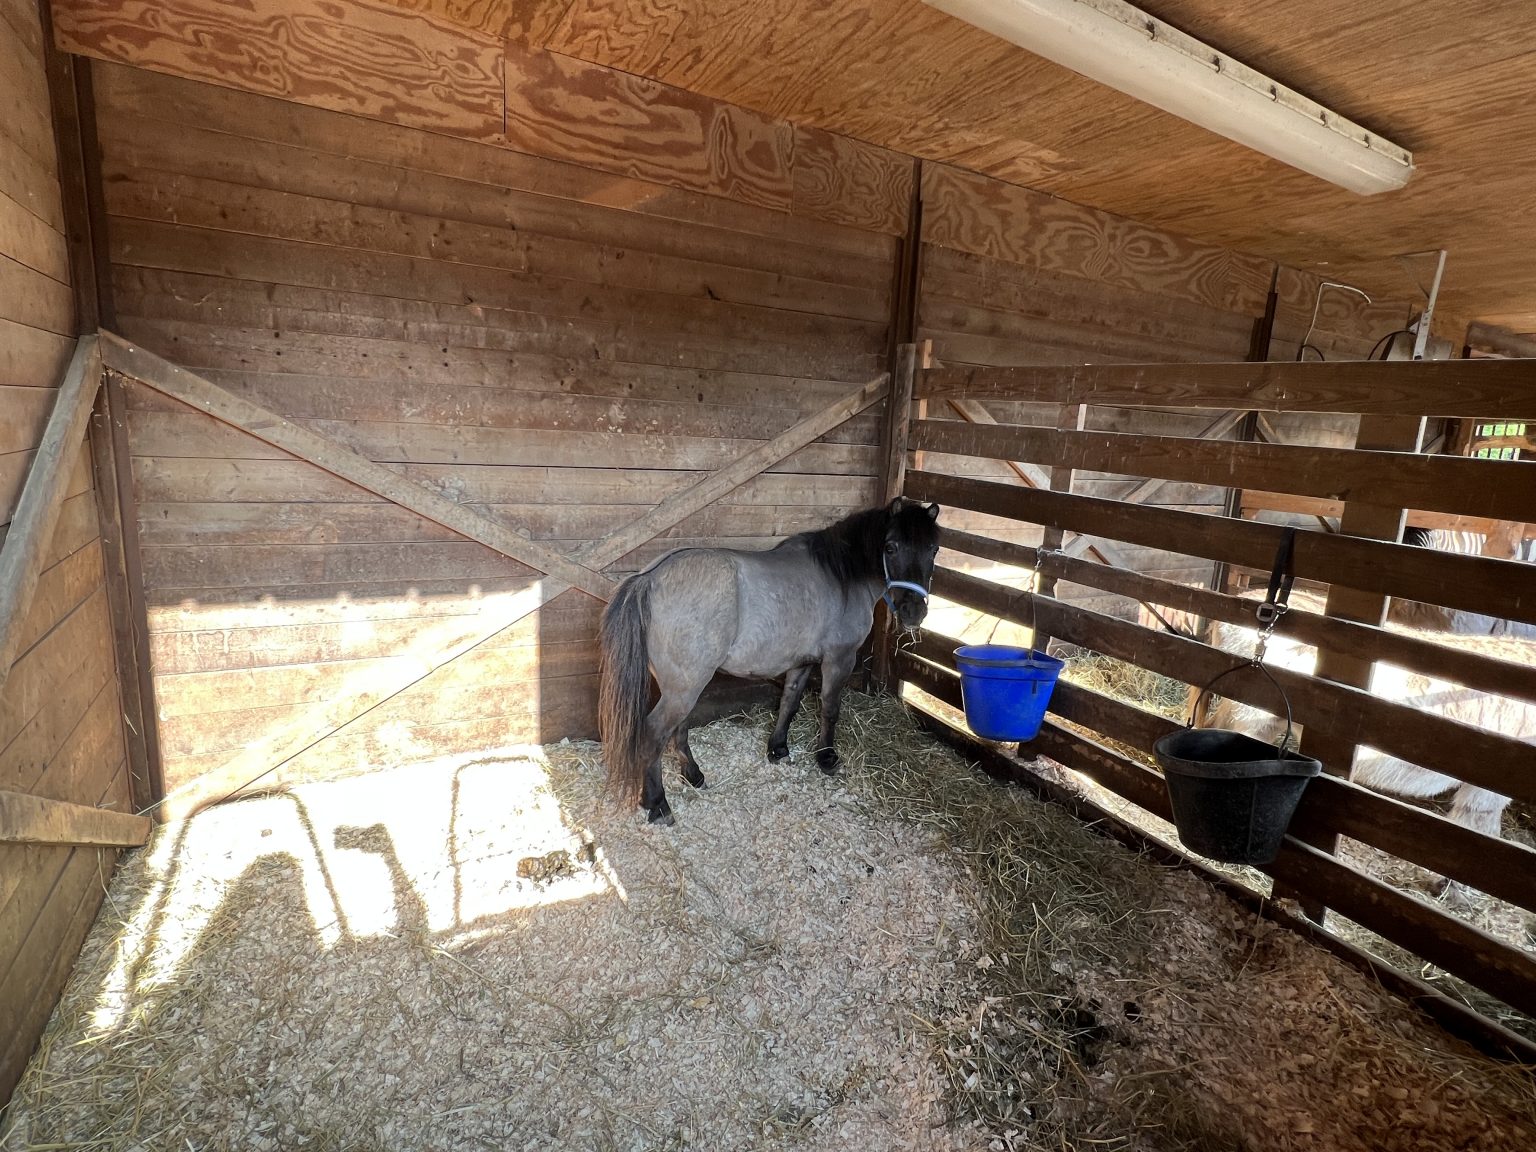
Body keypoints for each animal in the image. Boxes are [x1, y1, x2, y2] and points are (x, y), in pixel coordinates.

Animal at [598, 497, 941, 825]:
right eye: (890, 547)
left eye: (934, 549)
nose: (914, 612)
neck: (840, 576)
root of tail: (649, 579)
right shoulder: (839, 659)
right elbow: (830, 709)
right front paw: (827, 758)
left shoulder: (801, 662)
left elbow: (789, 702)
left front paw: (778, 749)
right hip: (685, 686)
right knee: (654, 734)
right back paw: (657, 804)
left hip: (680, 686)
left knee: (677, 729)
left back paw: (691, 776)